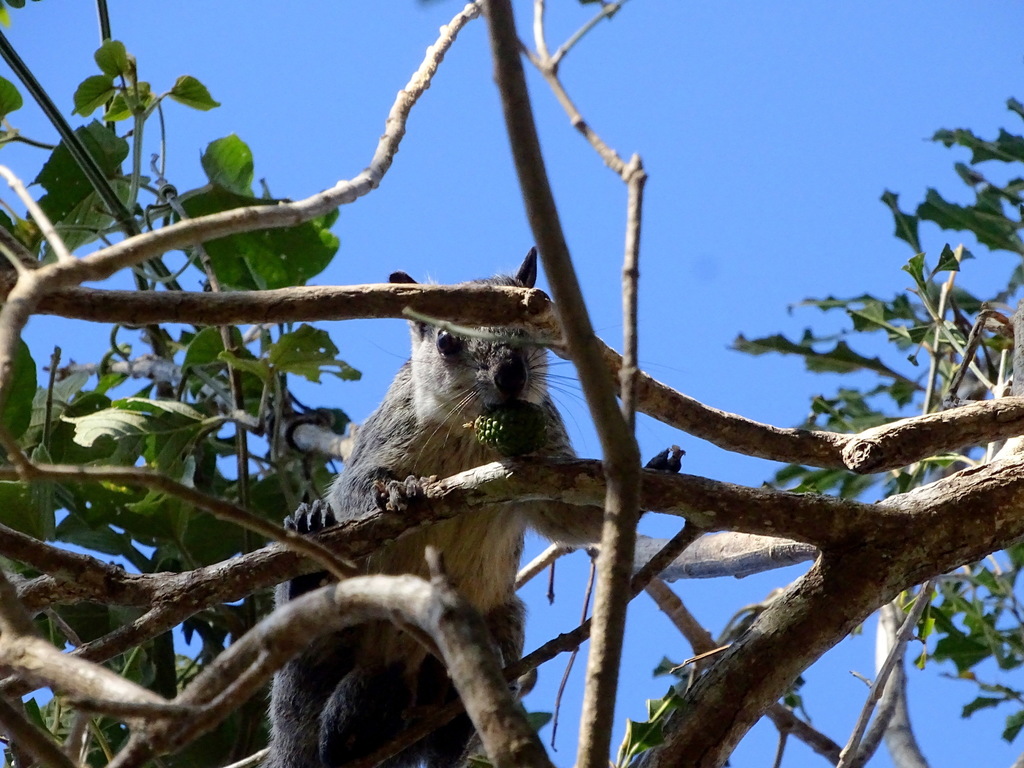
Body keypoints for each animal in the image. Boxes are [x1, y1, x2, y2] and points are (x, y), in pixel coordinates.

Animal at [265, 249, 680, 768]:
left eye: (533, 328)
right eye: (445, 341)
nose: (511, 375)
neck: (471, 429)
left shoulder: (544, 457)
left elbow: (570, 517)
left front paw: (655, 471)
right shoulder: (384, 435)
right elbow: (359, 487)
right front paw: (397, 491)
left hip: (498, 622)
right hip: (320, 642)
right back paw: (308, 541)